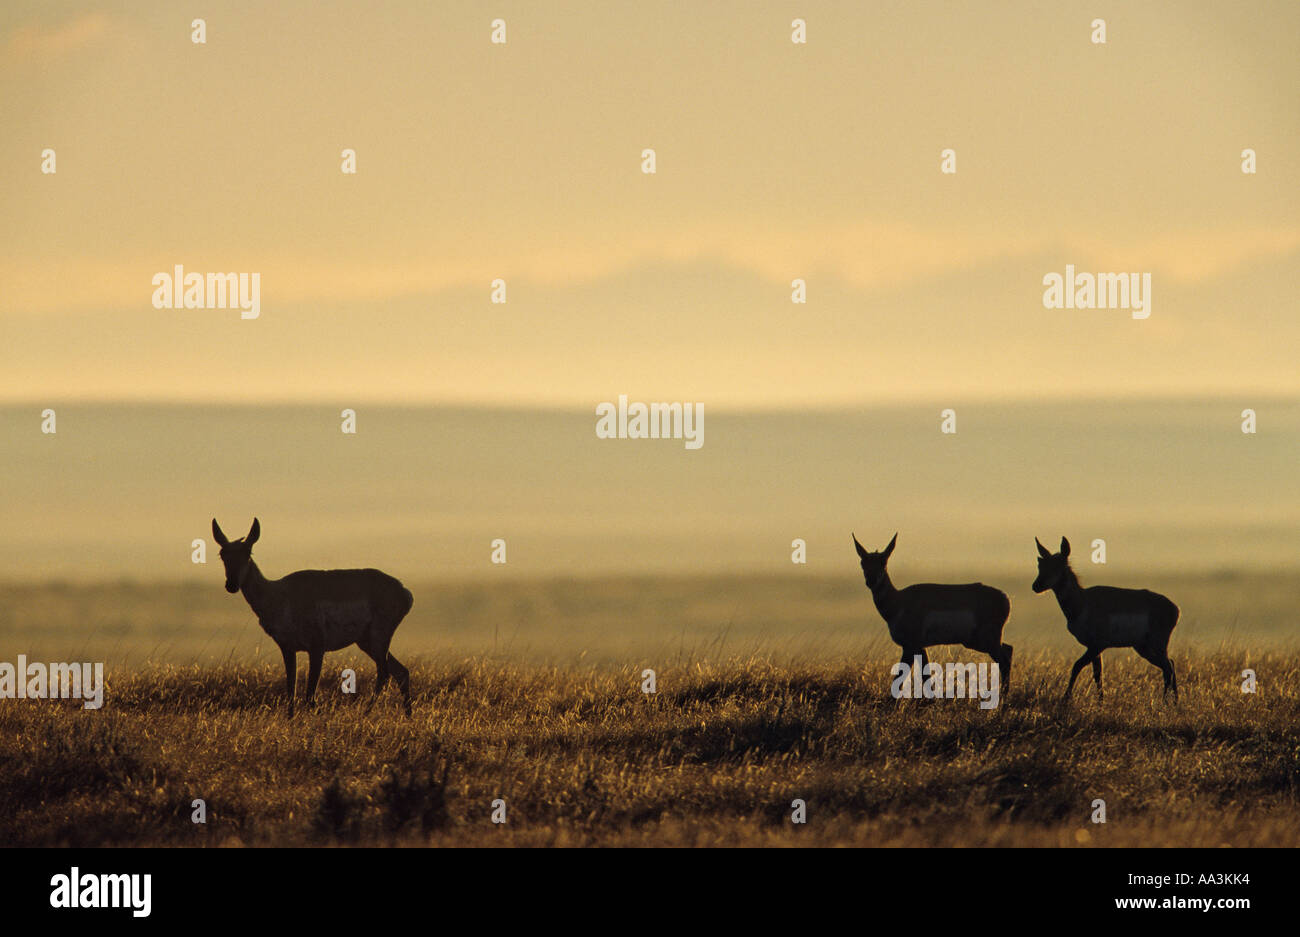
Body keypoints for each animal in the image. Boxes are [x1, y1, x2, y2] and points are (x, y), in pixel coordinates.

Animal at [211, 517, 414, 716]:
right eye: (222, 554)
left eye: (248, 552)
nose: (231, 585)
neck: (279, 596)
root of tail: (405, 591)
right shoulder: (288, 648)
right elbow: (291, 692)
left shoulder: (317, 647)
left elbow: (310, 697)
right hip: (366, 642)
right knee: (400, 672)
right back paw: (406, 715)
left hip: (378, 639)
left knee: (385, 672)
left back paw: (366, 713)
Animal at [853, 533, 1013, 691]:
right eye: (862, 563)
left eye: (883, 561)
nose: (871, 581)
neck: (898, 601)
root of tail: (1005, 597)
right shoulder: (919, 647)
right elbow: (926, 677)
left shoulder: (910, 646)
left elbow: (901, 680)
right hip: (977, 641)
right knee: (1008, 650)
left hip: (985, 641)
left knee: (1004, 660)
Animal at [1032, 536, 1178, 702]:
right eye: (1040, 564)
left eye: (1057, 566)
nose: (1035, 586)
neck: (1082, 602)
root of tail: (1175, 608)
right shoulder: (1093, 647)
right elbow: (1098, 674)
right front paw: (1100, 702)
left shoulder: (1098, 645)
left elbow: (1077, 666)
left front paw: (1066, 698)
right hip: (1143, 647)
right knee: (1169, 664)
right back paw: (1174, 702)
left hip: (1156, 644)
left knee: (1168, 666)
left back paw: (1165, 702)